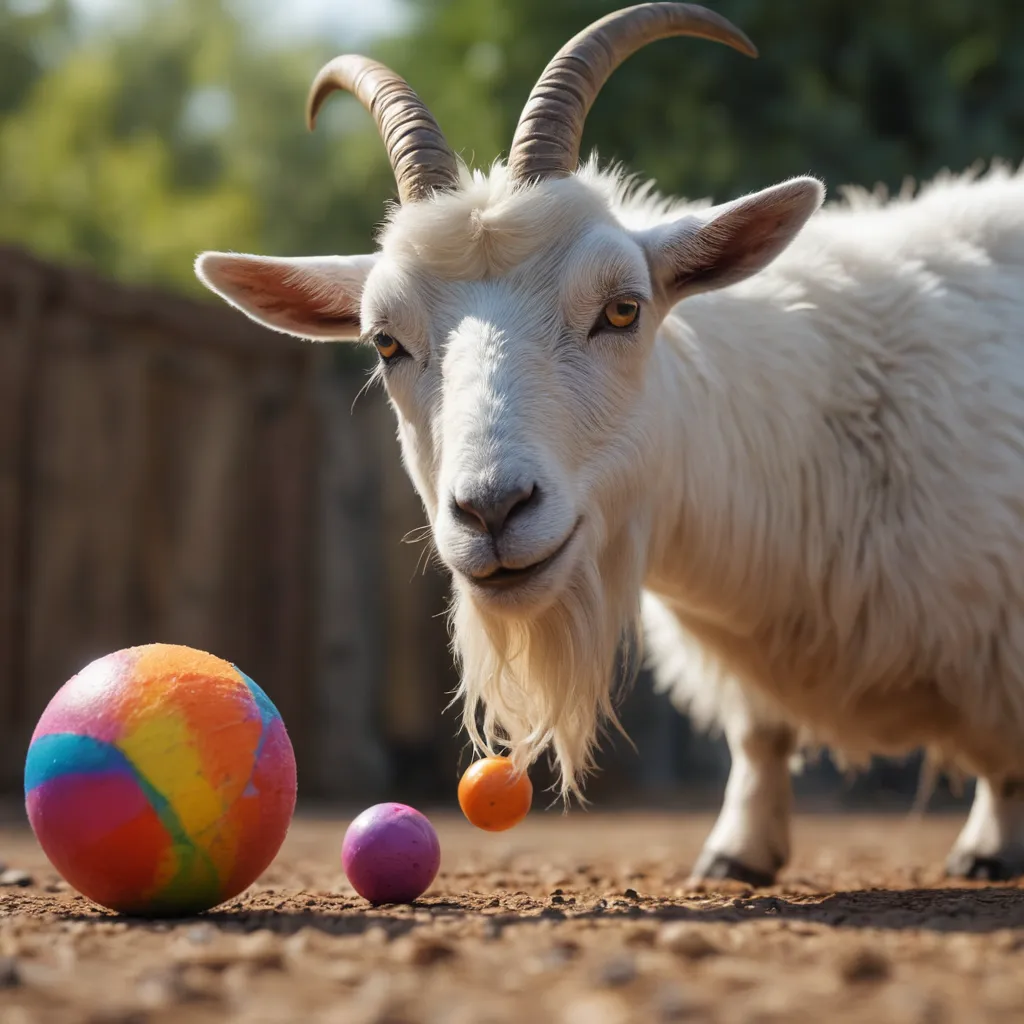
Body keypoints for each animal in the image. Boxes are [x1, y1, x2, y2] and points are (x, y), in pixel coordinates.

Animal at [196, 3, 1024, 885]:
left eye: (622, 309)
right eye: (385, 342)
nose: (493, 510)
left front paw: (990, 846)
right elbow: (759, 734)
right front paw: (737, 851)